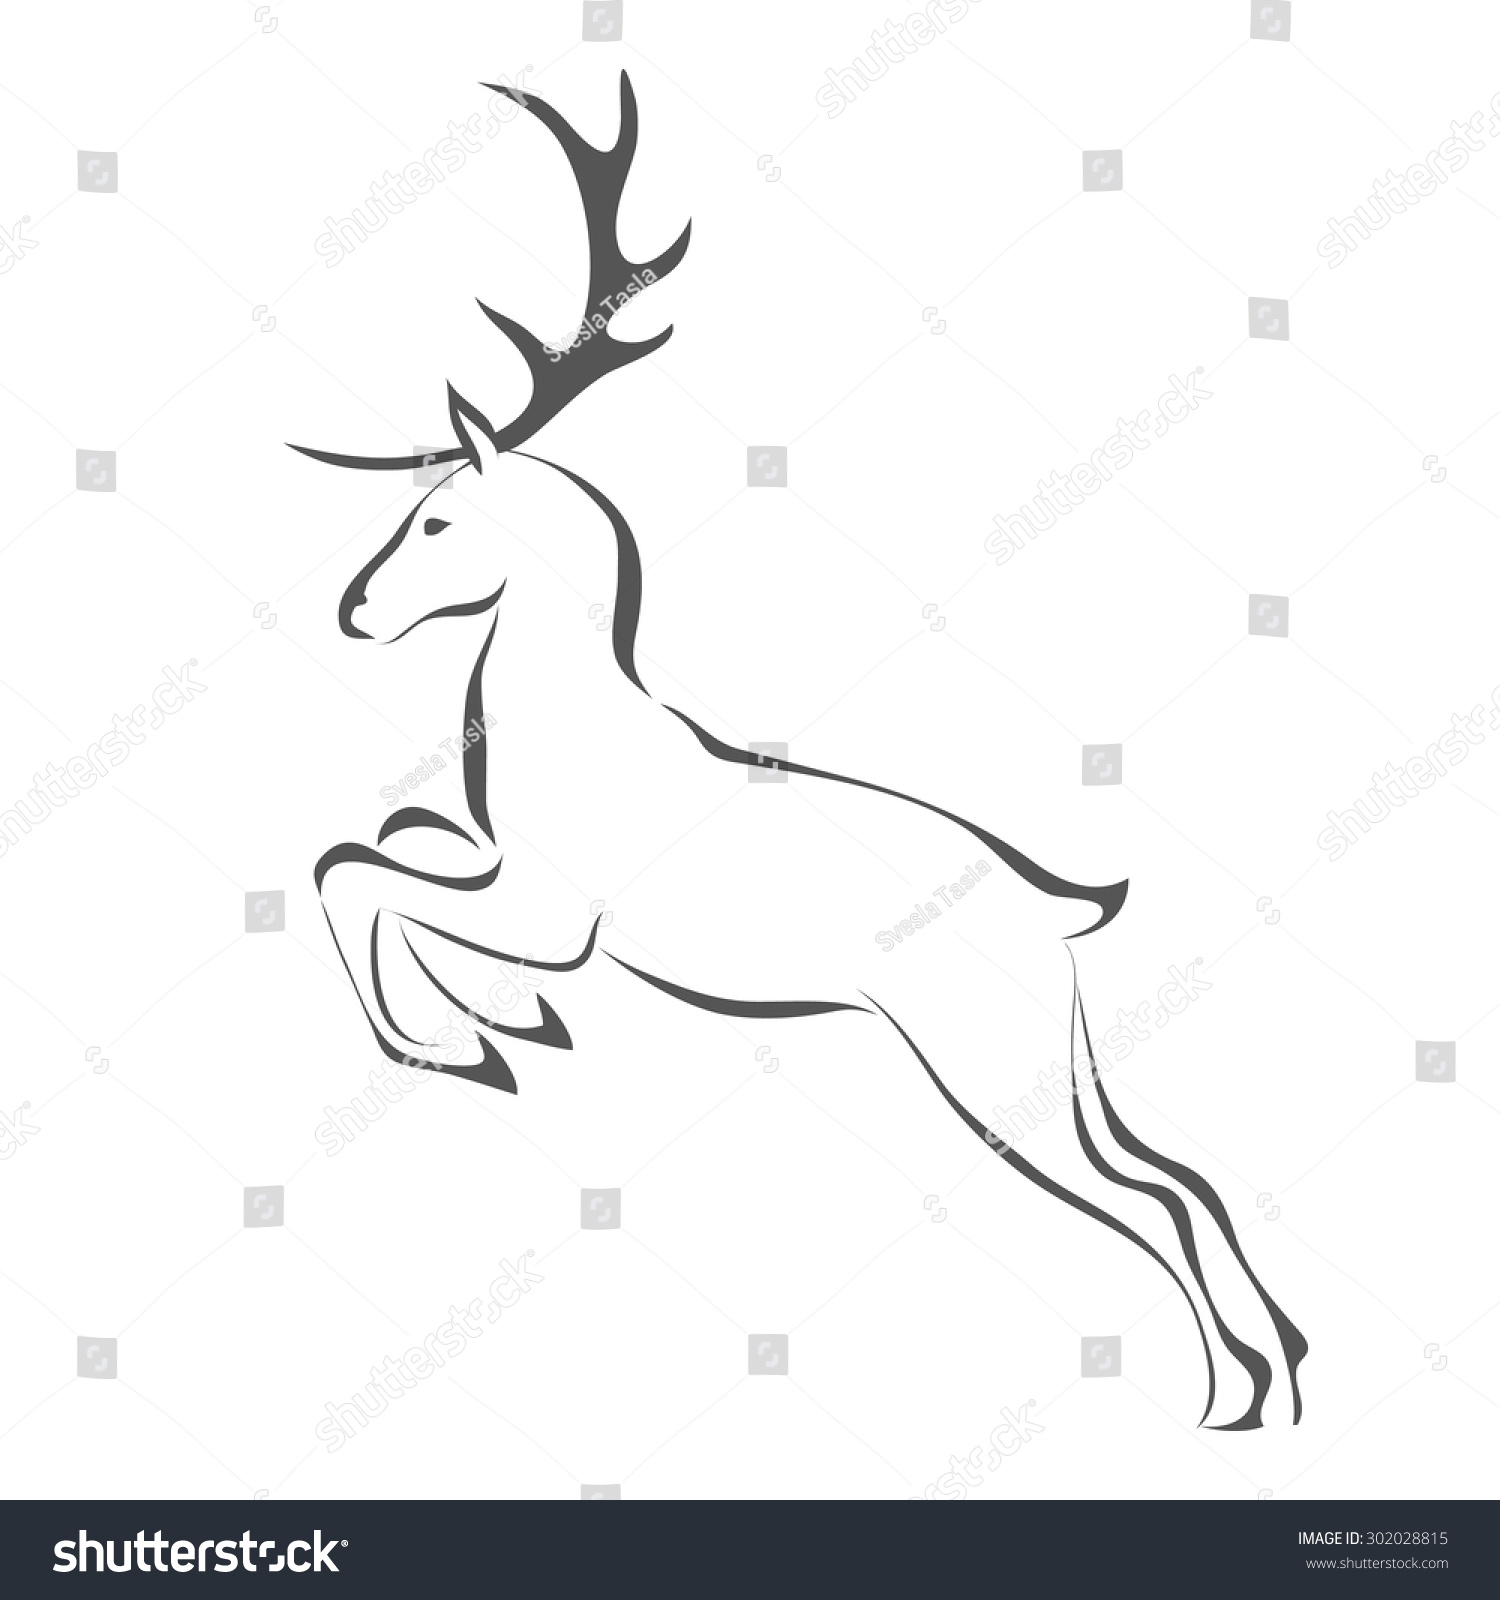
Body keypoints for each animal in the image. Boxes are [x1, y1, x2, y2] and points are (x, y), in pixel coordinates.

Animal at [296, 71, 1307, 1432]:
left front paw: (464, 1045)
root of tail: (1062, 908)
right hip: (1065, 1059)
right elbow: (388, 843)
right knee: (1180, 1178)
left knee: (1145, 1202)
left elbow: (353, 871)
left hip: (988, 1064)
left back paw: (1226, 1398)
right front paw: (514, 1030)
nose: (354, 610)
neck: (570, 719)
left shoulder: (557, 915)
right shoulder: (496, 865)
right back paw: (1273, 1387)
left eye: (439, 518)